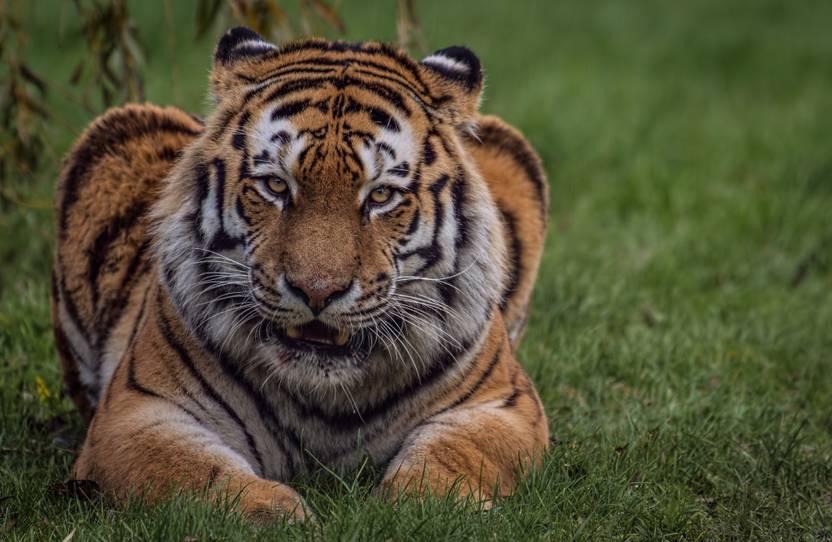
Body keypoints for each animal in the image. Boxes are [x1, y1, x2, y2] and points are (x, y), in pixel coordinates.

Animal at [52, 27, 549, 520]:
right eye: (276, 186)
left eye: (381, 195)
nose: (317, 291)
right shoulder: (136, 412)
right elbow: (192, 472)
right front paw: (274, 510)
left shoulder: (502, 405)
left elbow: (452, 455)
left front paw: (419, 506)